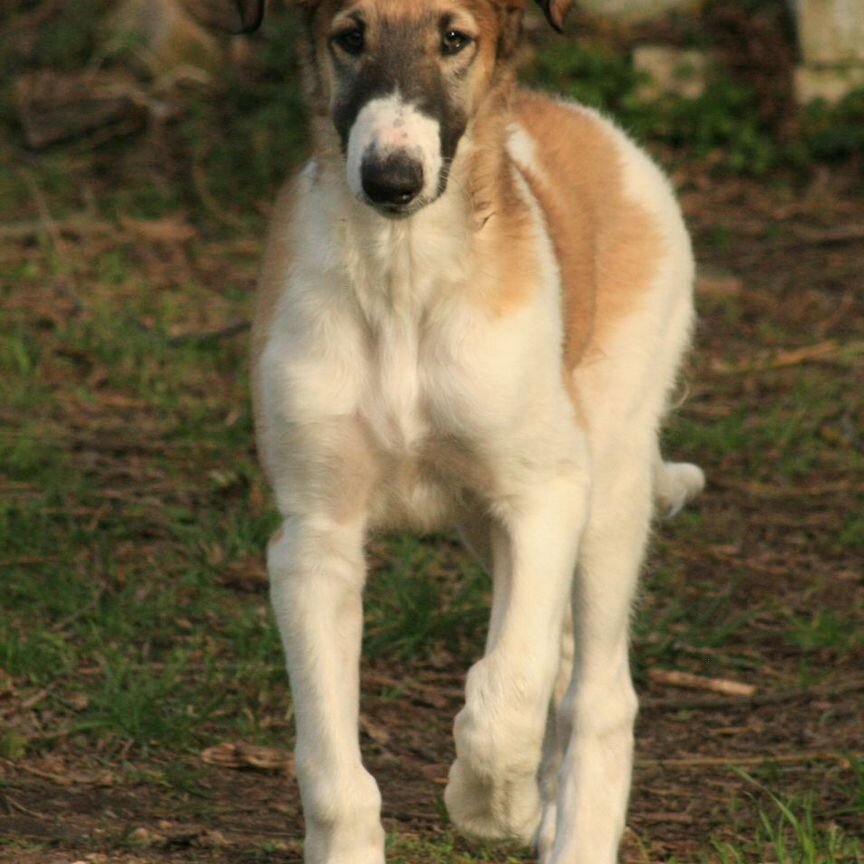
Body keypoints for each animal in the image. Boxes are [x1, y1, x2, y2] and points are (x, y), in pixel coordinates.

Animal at [236, 0, 704, 860]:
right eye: (348, 36)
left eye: (454, 38)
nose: (391, 178)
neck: (401, 279)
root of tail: (585, 124)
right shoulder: (314, 539)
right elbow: (332, 770)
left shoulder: (545, 495)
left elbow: (507, 692)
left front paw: (494, 806)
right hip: (486, 523)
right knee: (561, 651)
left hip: (609, 485)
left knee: (599, 692)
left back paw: (569, 829)